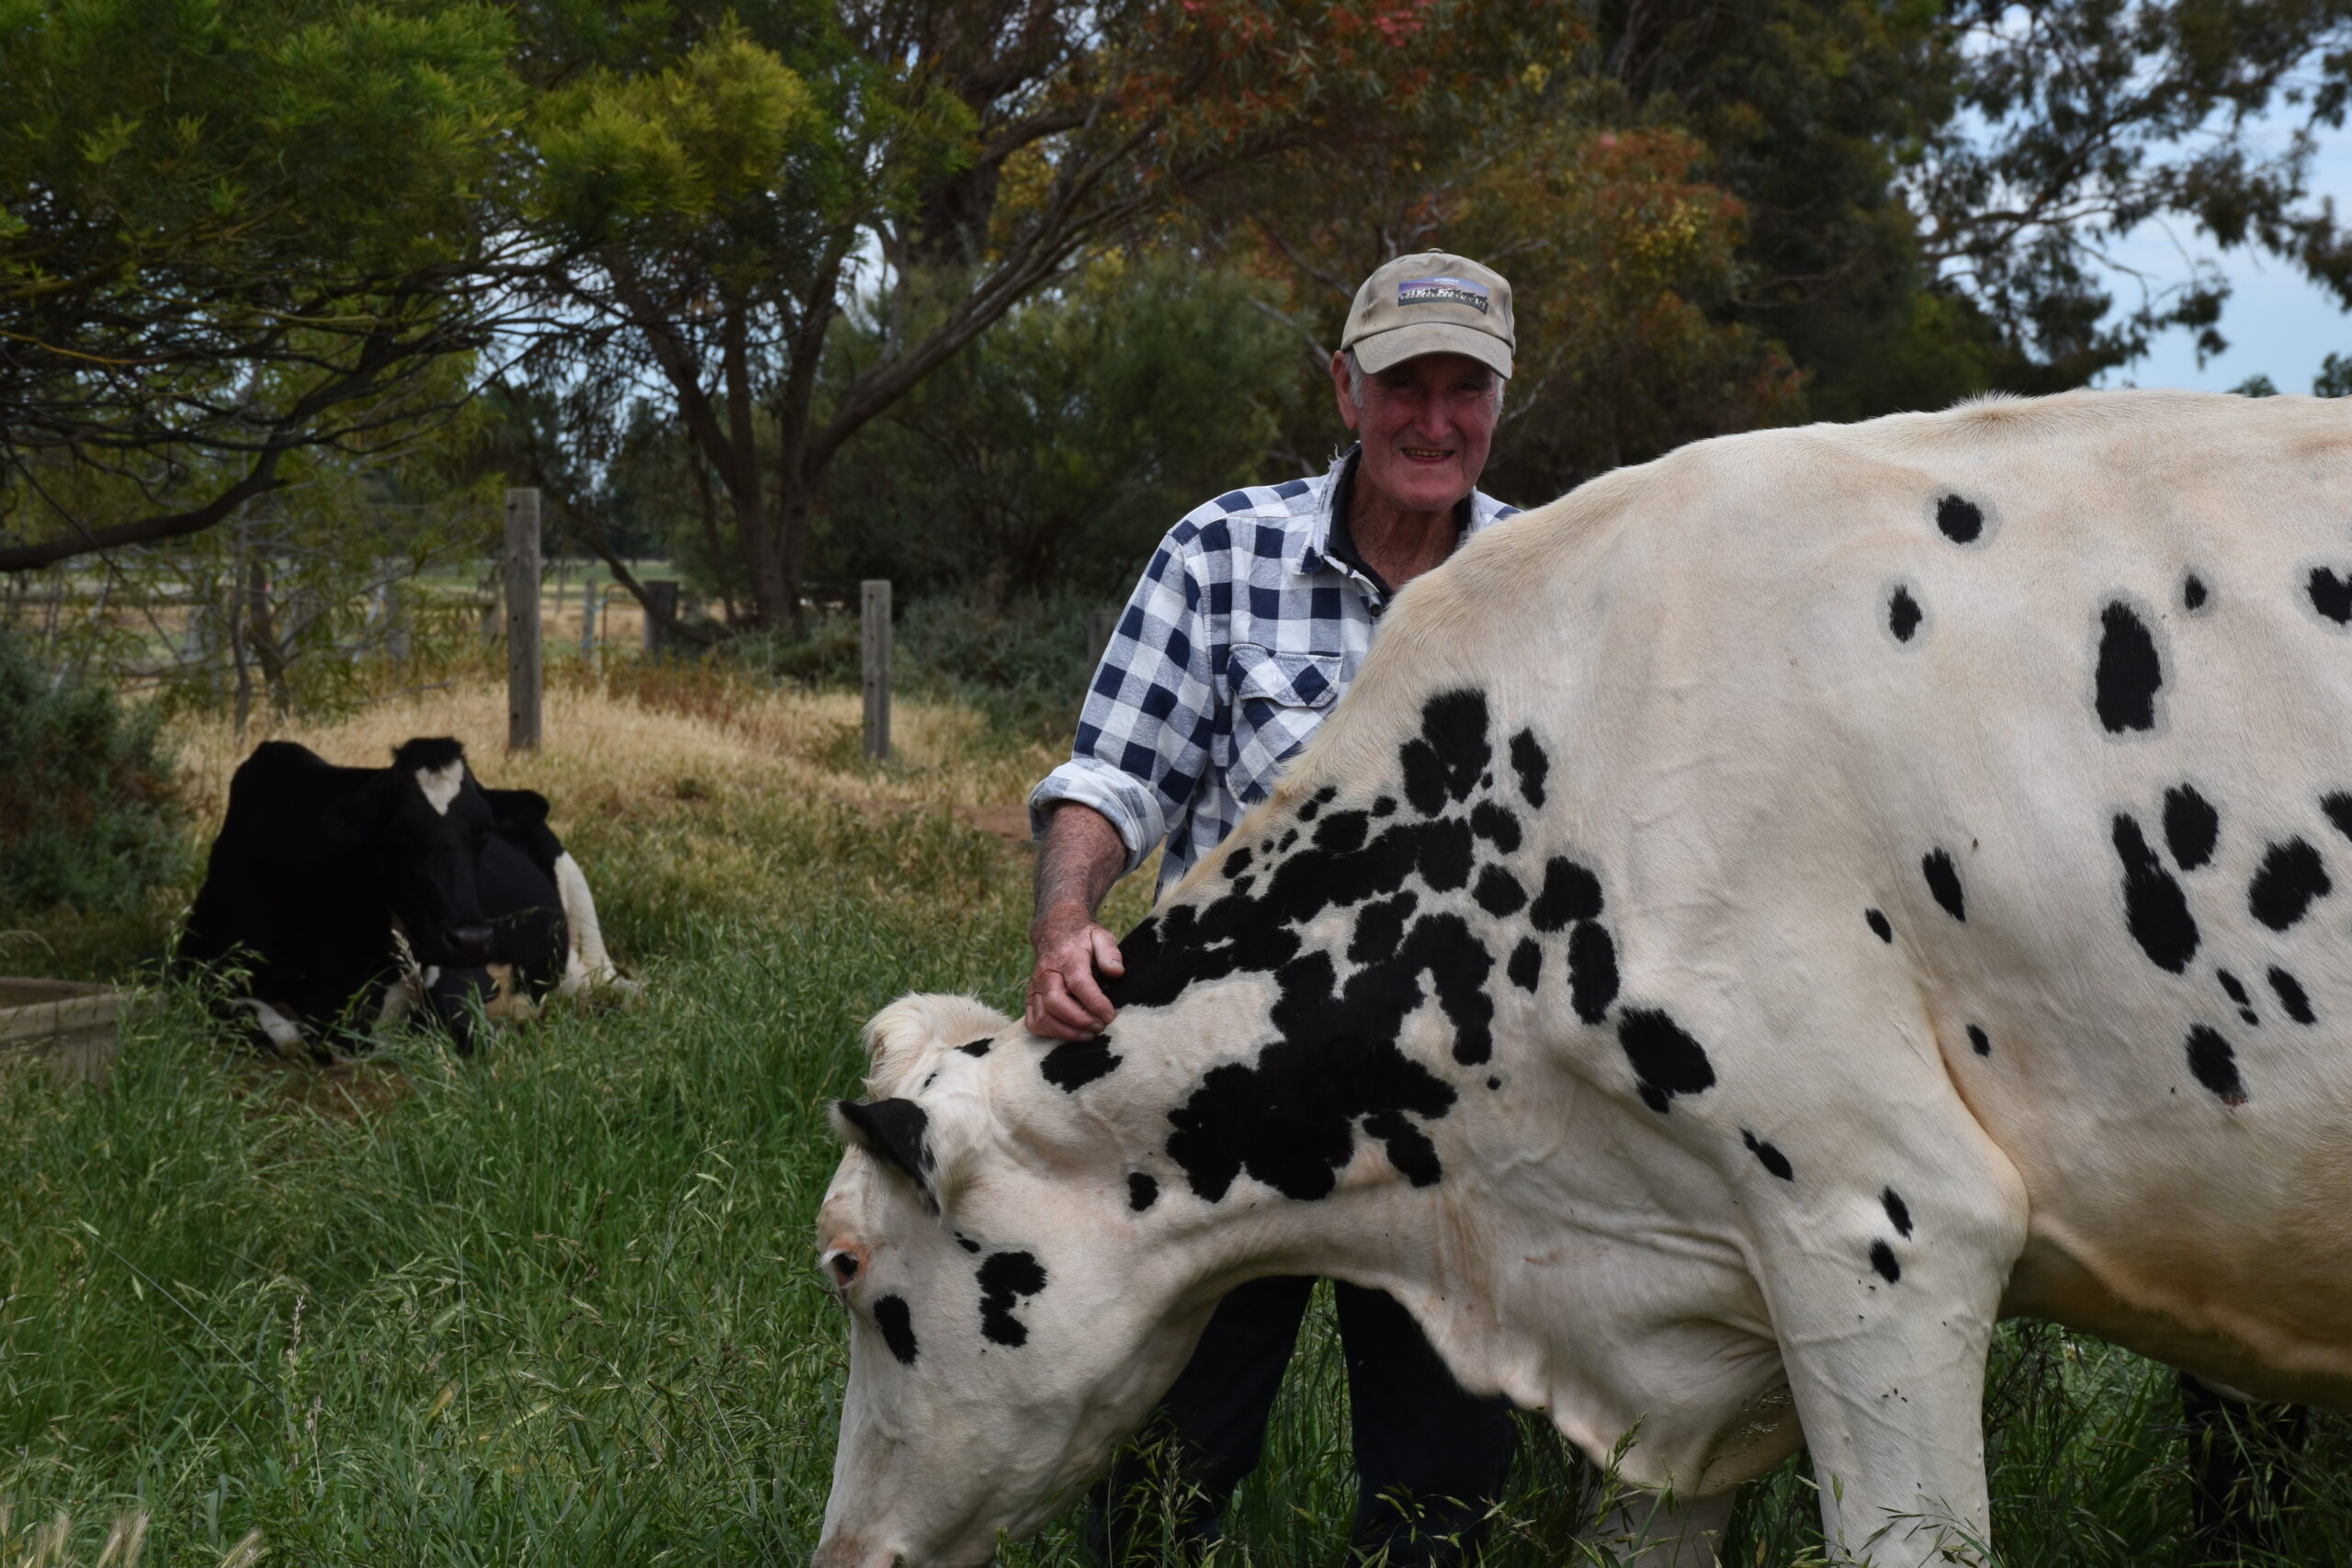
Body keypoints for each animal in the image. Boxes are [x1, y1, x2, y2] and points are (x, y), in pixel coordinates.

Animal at [180, 736, 627, 1057]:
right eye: (399, 832)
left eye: (483, 832)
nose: (472, 939)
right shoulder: (193, 970)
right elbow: (284, 1033)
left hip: (579, 906)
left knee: (609, 979)